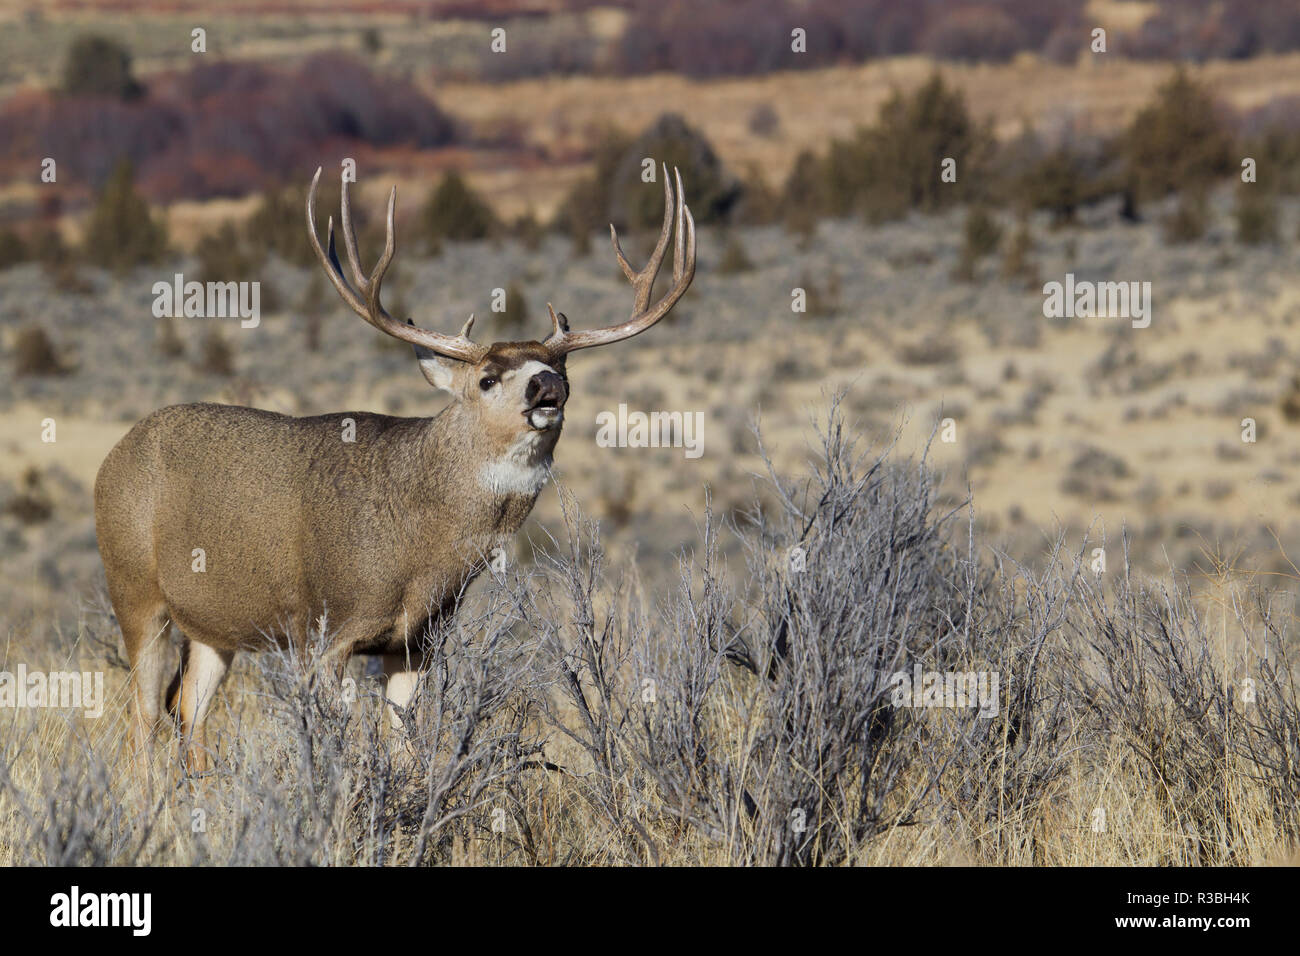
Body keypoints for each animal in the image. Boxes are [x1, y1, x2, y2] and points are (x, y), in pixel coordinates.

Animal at [94, 165, 696, 777]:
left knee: (188, 712)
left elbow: (405, 747)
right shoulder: (327, 627)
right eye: (486, 378)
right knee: (144, 719)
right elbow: (334, 745)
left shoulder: (417, 640)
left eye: (562, 370)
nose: (547, 385)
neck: (418, 543)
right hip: (134, 586)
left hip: (213, 625)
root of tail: (116, 453)